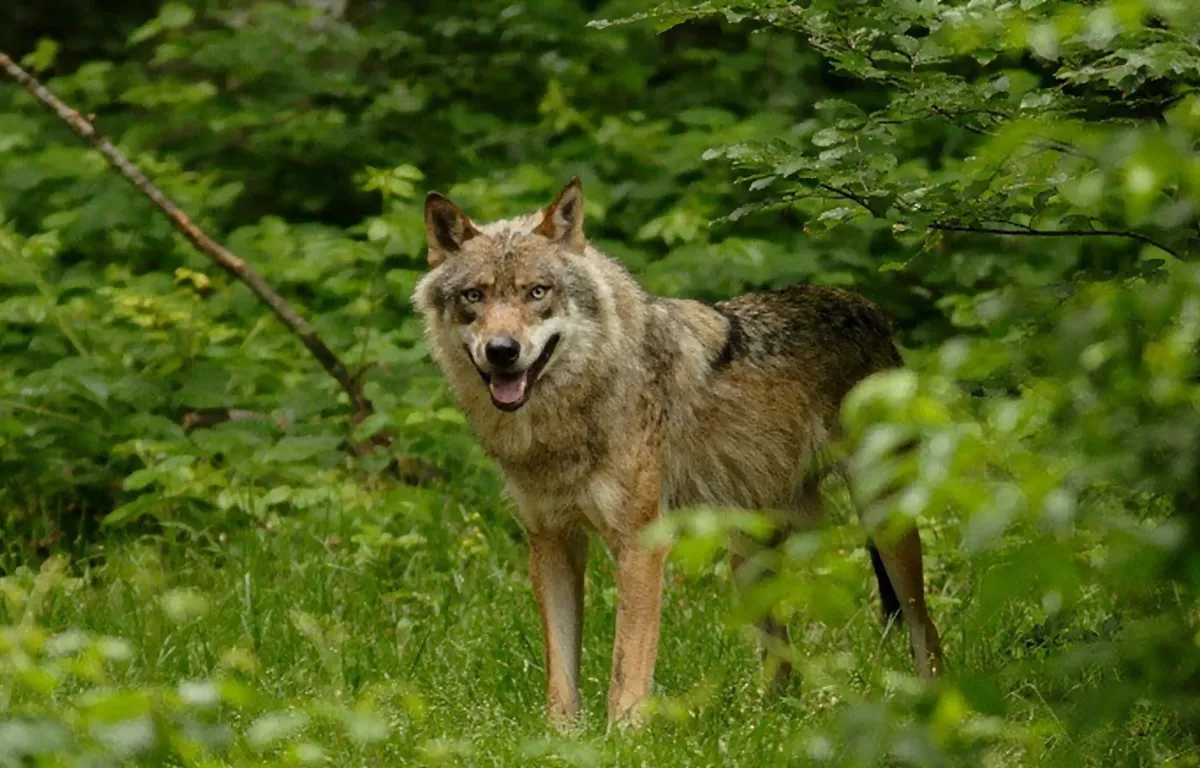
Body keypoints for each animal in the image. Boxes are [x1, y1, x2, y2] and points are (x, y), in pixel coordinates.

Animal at [412, 177, 943, 727]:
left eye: (537, 292)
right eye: (474, 296)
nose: (502, 351)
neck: (567, 423)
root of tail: (867, 308)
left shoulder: (641, 545)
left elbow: (627, 668)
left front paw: (623, 734)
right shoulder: (551, 543)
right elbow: (560, 673)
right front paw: (558, 736)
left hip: (885, 525)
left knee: (927, 630)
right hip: (746, 560)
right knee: (784, 664)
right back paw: (765, 721)